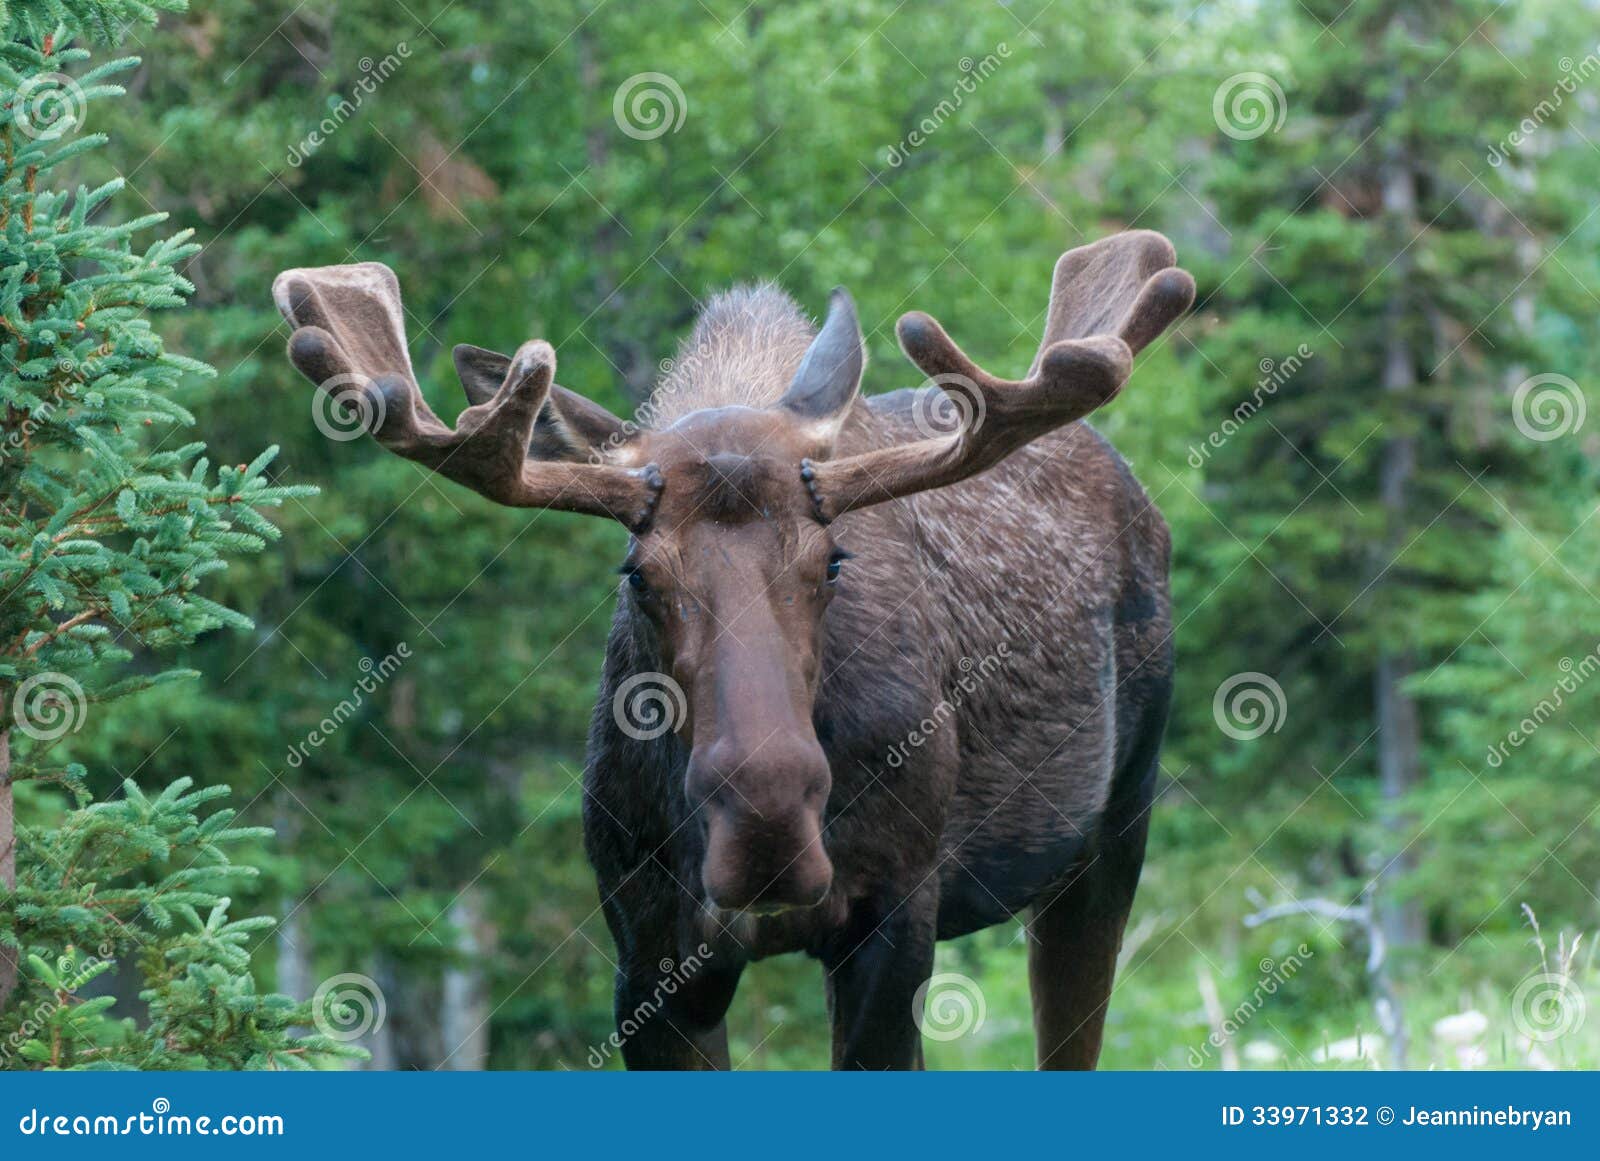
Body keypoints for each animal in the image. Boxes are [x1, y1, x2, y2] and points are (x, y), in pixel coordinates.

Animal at [274, 229, 1194, 1070]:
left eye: (833, 558)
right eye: (638, 573)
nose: (767, 825)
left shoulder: (895, 916)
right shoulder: (646, 952)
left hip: (1112, 835)